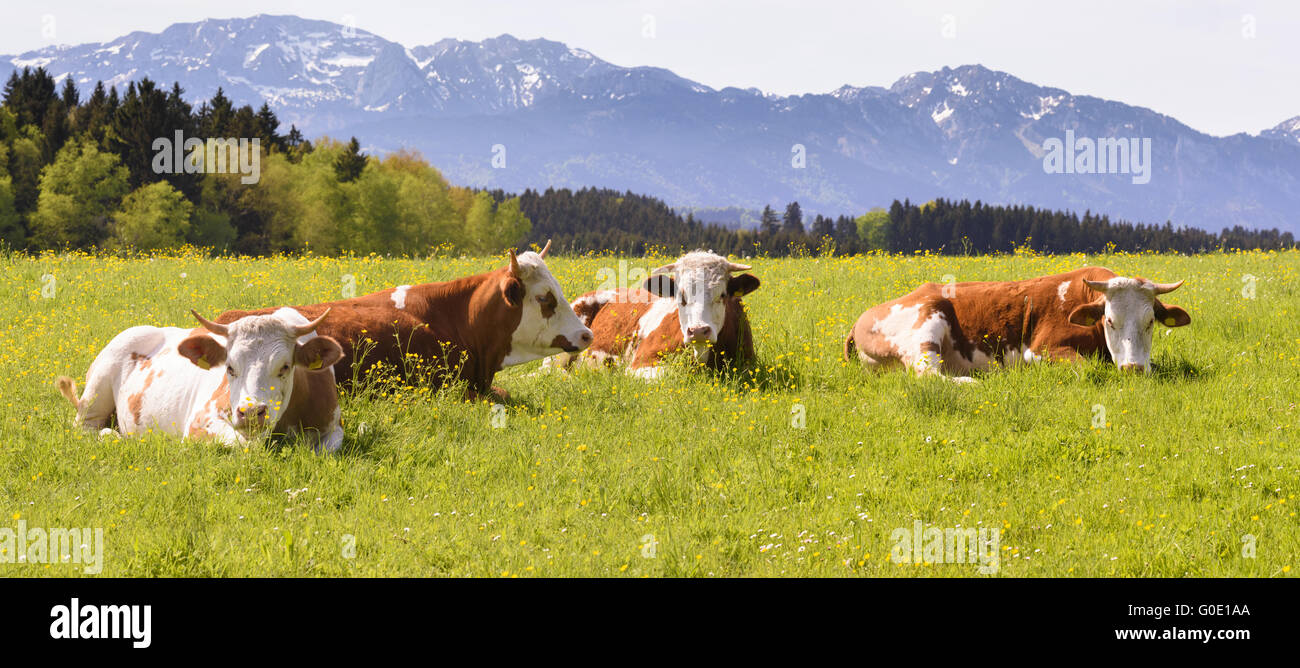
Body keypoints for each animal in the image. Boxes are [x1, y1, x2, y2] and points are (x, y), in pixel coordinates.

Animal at [55, 308, 346, 451]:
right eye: (229, 367)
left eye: (285, 367)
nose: (251, 412)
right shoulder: (200, 422)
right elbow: (242, 445)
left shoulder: (333, 427)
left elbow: (327, 447)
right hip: (95, 395)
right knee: (86, 427)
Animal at [843, 266, 1190, 379]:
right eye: (1109, 320)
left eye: (1150, 321)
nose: (1133, 368)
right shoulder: (1038, 351)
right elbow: (1085, 368)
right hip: (924, 326)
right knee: (928, 374)